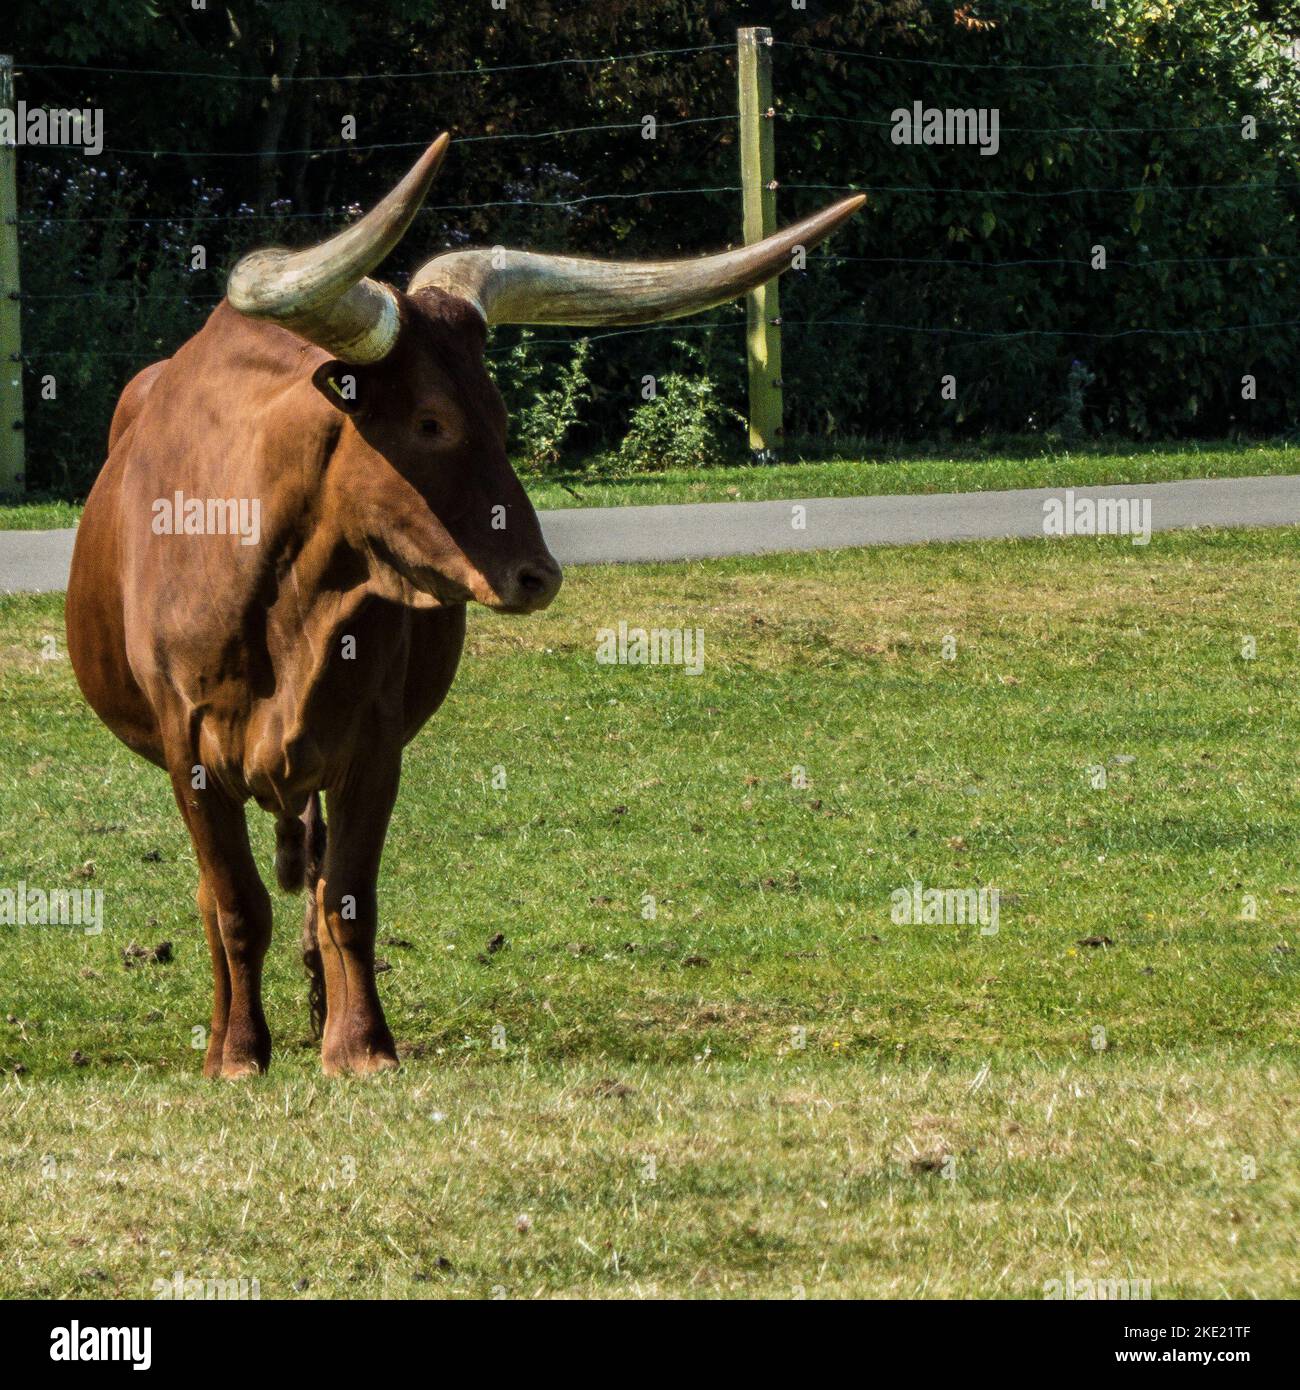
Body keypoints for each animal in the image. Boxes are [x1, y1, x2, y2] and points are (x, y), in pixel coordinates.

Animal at [65, 134, 863, 1077]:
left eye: (501, 415)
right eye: (430, 423)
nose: (537, 576)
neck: (284, 596)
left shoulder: (372, 745)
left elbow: (347, 901)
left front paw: (360, 1047)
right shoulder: (190, 749)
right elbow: (233, 905)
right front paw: (238, 1054)